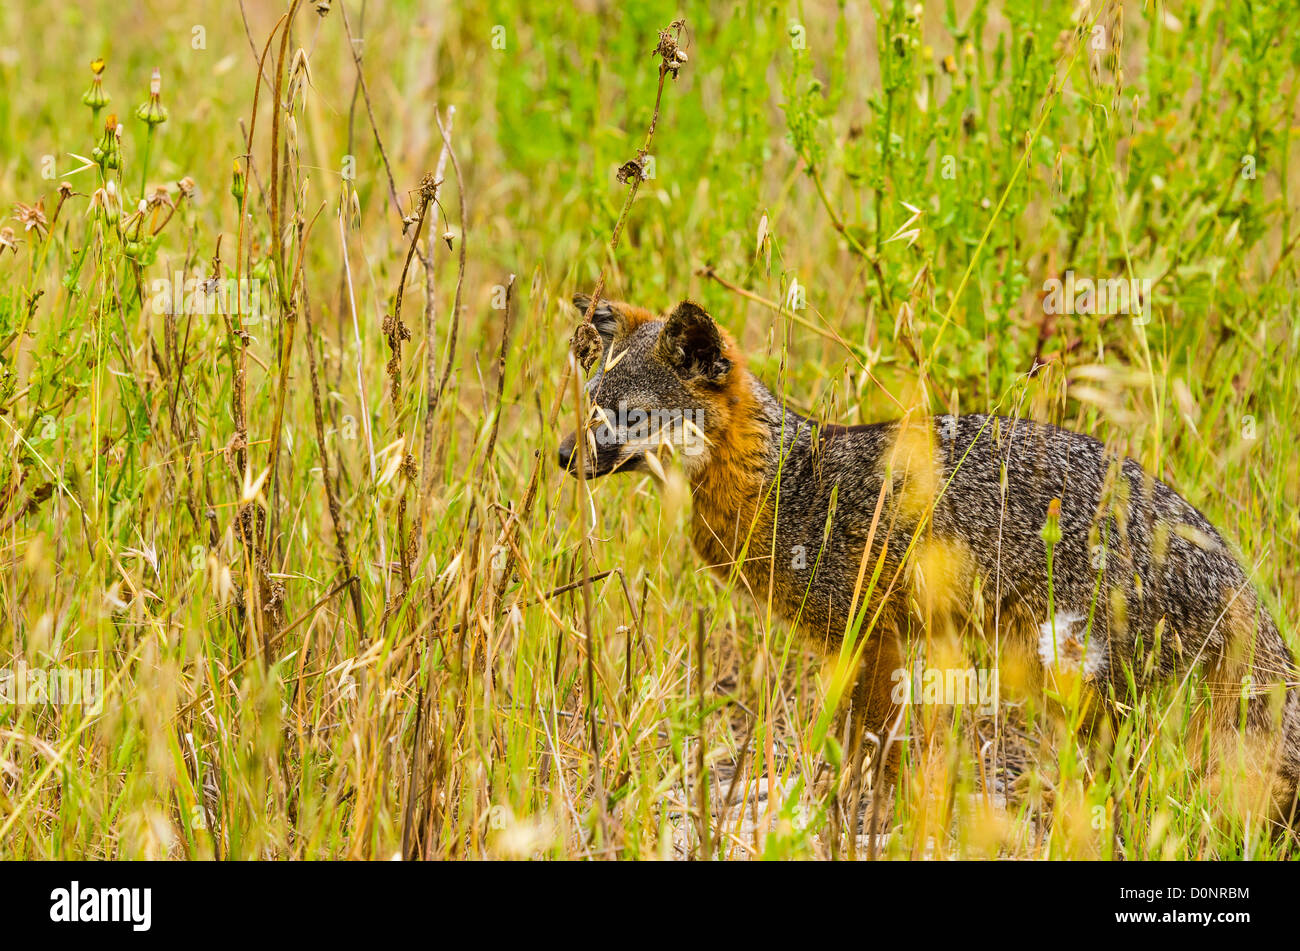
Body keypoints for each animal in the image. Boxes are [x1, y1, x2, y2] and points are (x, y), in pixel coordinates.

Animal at [558, 294, 1300, 825]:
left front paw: (862, 821)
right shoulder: (867, 644)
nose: (563, 455)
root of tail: (1208, 542)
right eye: (588, 405)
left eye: (625, 415)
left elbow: (872, 756)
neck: (785, 482)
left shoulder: (870, 637)